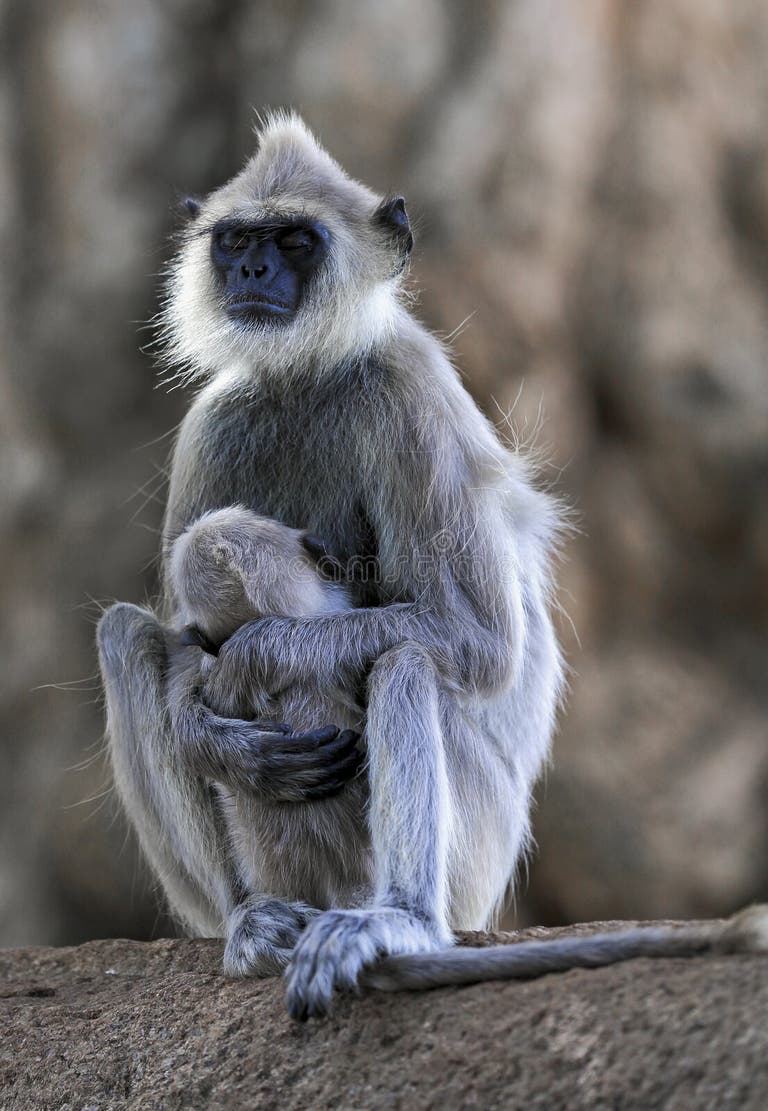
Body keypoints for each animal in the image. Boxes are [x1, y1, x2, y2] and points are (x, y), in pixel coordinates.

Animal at [96, 112, 765, 1022]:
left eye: (294, 239)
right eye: (235, 240)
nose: (253, 270)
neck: (310, 375)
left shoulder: (409, 398)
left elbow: (474, 639)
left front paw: (251, 658)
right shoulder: (213, 421)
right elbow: (176, 644)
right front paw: (212, 732)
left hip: (472, 863)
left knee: (407, 657)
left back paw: (400, 921)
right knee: (125, 636)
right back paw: (251, 918)